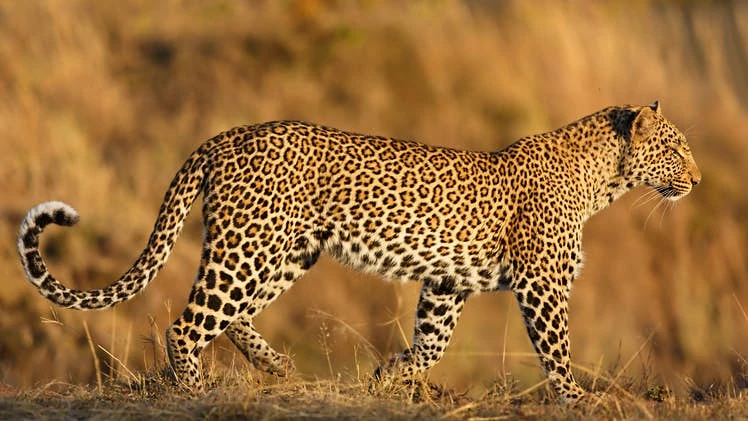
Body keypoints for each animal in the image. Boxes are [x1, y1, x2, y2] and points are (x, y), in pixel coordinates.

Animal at [18, 101, 700, 403]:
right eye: (674, 148)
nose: (695, 179)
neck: (605, 183)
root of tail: (226, 135)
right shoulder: (542, 285)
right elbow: (556, 351)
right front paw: (578, 402)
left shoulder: (447, 282)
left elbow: (432, 342)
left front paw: (389, 375)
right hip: (252, 245)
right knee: (188, 324)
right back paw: (194, 389)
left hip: (286, 251)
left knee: (230, 316)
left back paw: (278, 367)